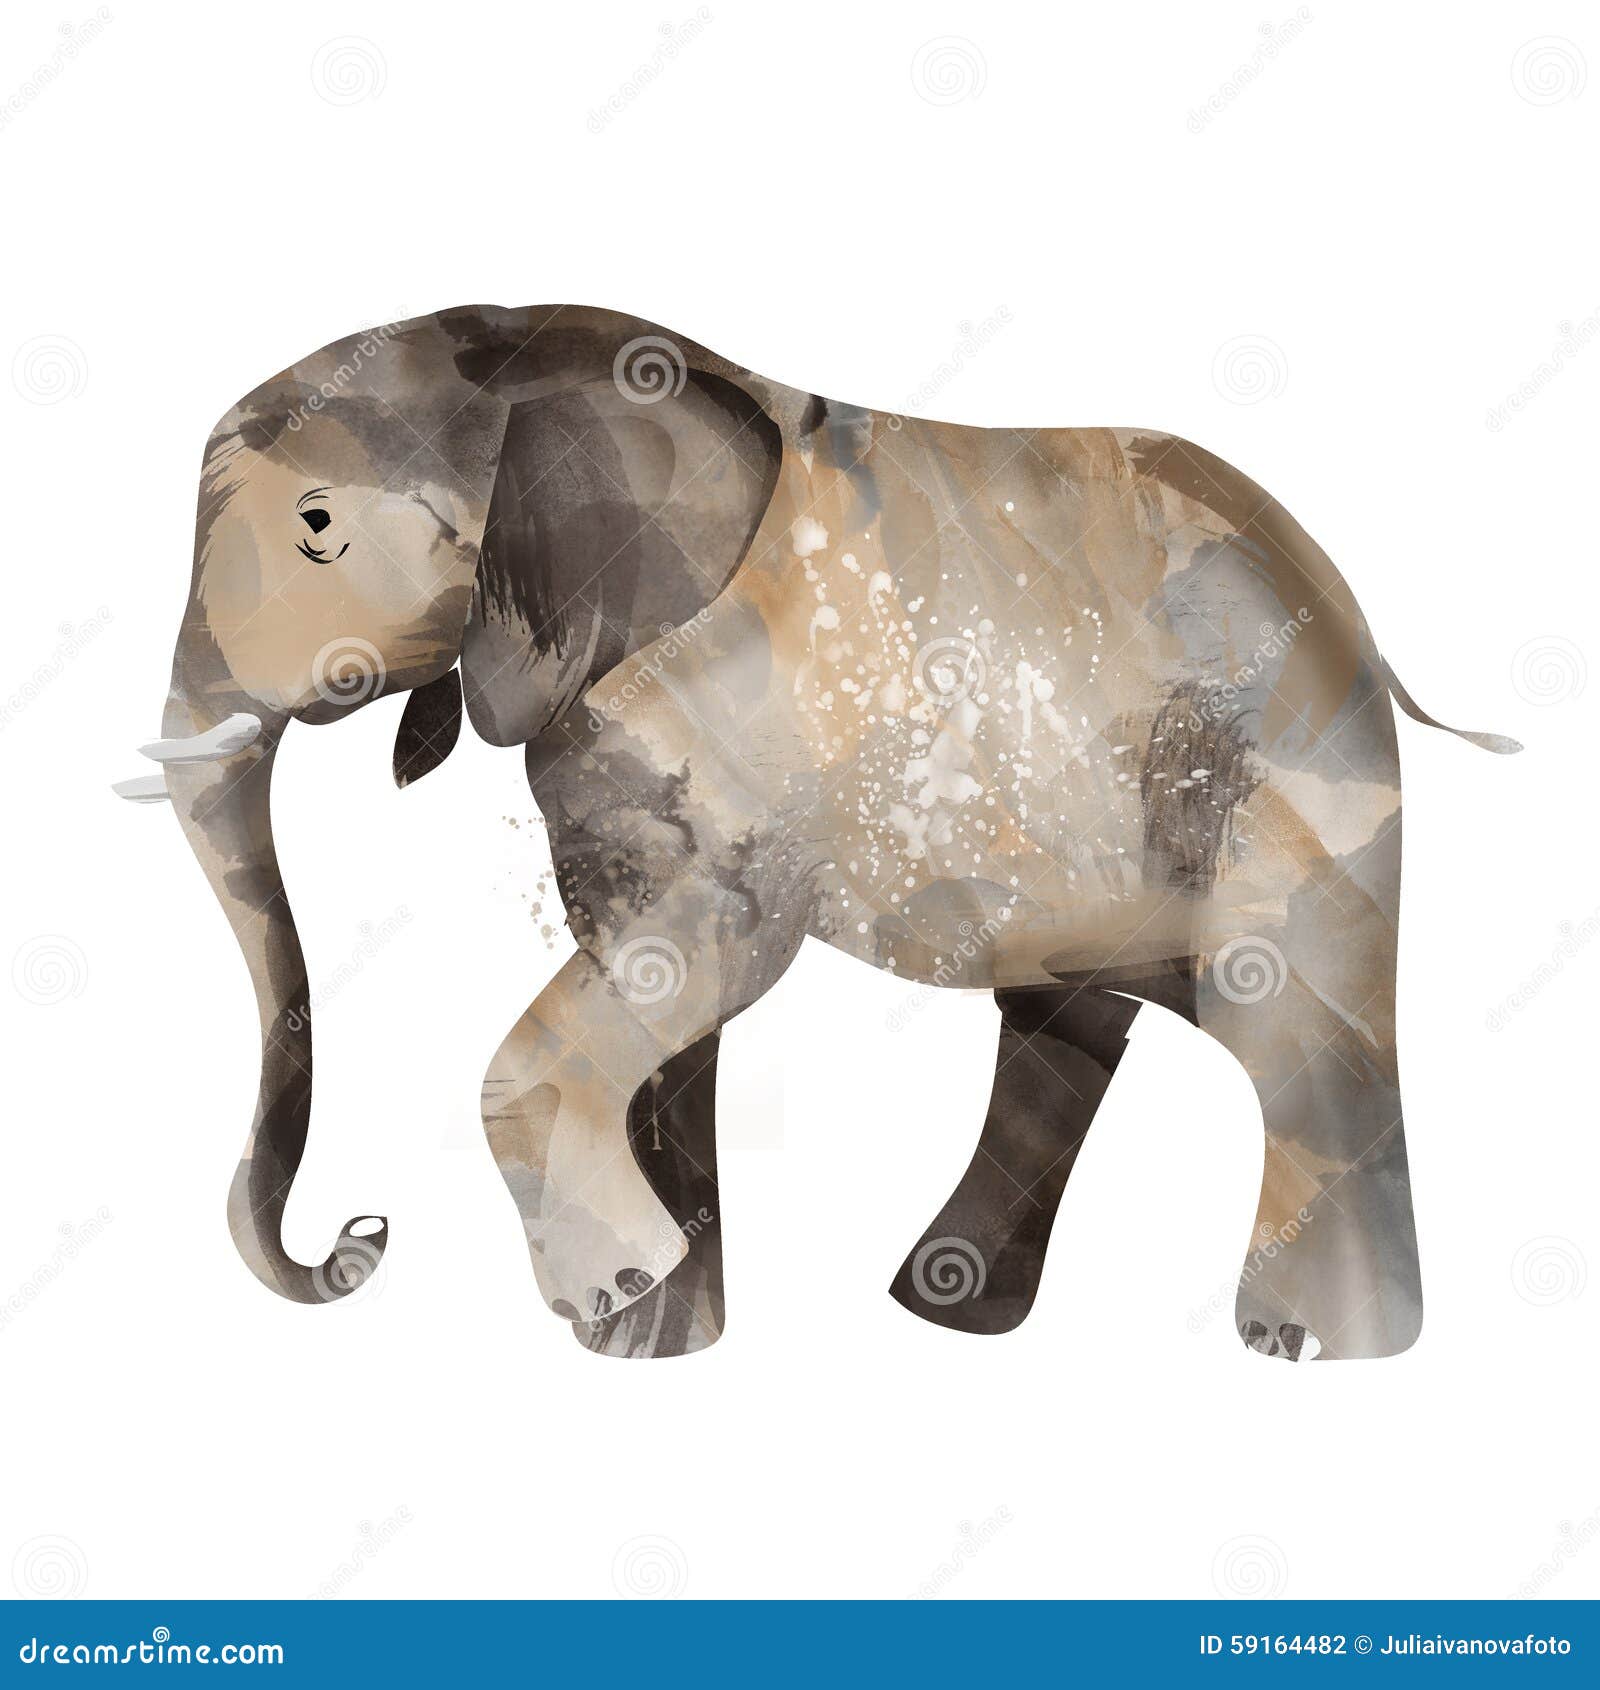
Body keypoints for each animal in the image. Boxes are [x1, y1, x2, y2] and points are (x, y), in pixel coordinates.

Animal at [118, 303, 1519, 1362]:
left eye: (317, 529)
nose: (359, 1240)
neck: (535, 345)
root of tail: (1358, 616)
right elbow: (649, 991)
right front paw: (649, 1339)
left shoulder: (735, 733)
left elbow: (717, 948)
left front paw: (611, 1295)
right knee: (1065, 1024)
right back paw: (943, 1310)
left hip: (1280, 775)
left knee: (1296, 1032)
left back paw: (1313, 1353)